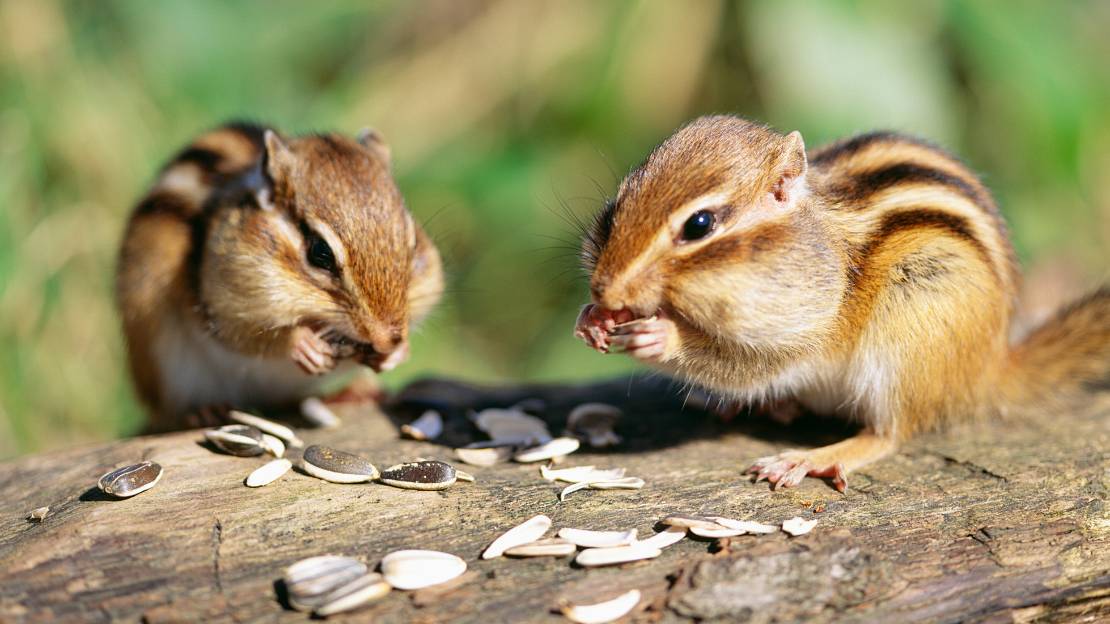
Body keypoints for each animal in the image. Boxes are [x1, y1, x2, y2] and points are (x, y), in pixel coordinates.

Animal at [117, 122, 443, 431]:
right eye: (320, 252)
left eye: (413, 242)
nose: (387, 339)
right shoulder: (223, 306)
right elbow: (248, 336)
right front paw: (301, 343)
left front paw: (397, 353)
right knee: (168, 413)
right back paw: (201, 413)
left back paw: (353, 392)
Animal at [575, 115, 1109, 492]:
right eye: (615, 206)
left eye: (700, 224)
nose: (605, 291)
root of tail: (989, 368)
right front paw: (592, 320)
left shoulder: (803, 323)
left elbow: (751, 363)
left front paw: (658, 336)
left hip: (910, 337)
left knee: (891, 432)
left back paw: (813, 456)